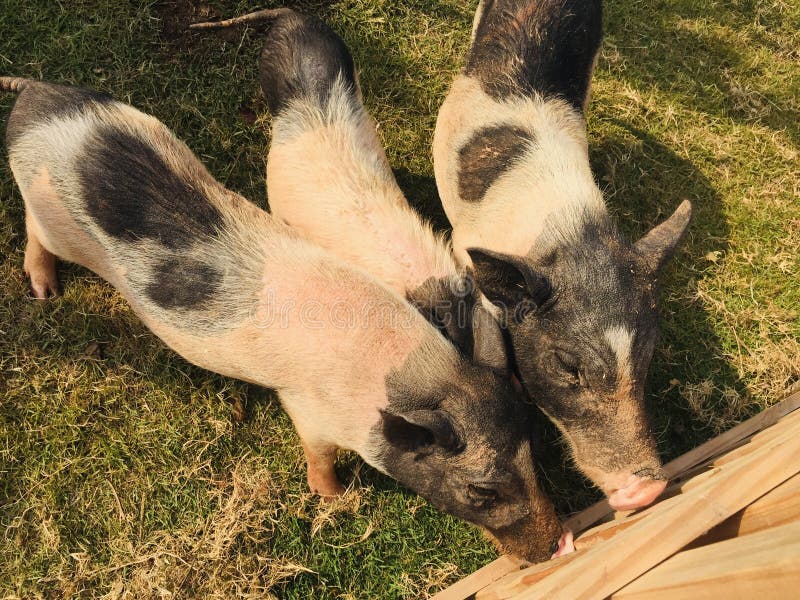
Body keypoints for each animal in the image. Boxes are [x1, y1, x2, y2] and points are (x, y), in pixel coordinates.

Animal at [1, 76, 571, 562]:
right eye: (481, 490)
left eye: (532, 449)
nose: (559, 545)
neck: (409, 374)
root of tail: (38, 95)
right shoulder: (309, 411)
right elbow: (318, 457)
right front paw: (338, 499)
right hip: (49, 217)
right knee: (32, 231)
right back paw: (44, 292)